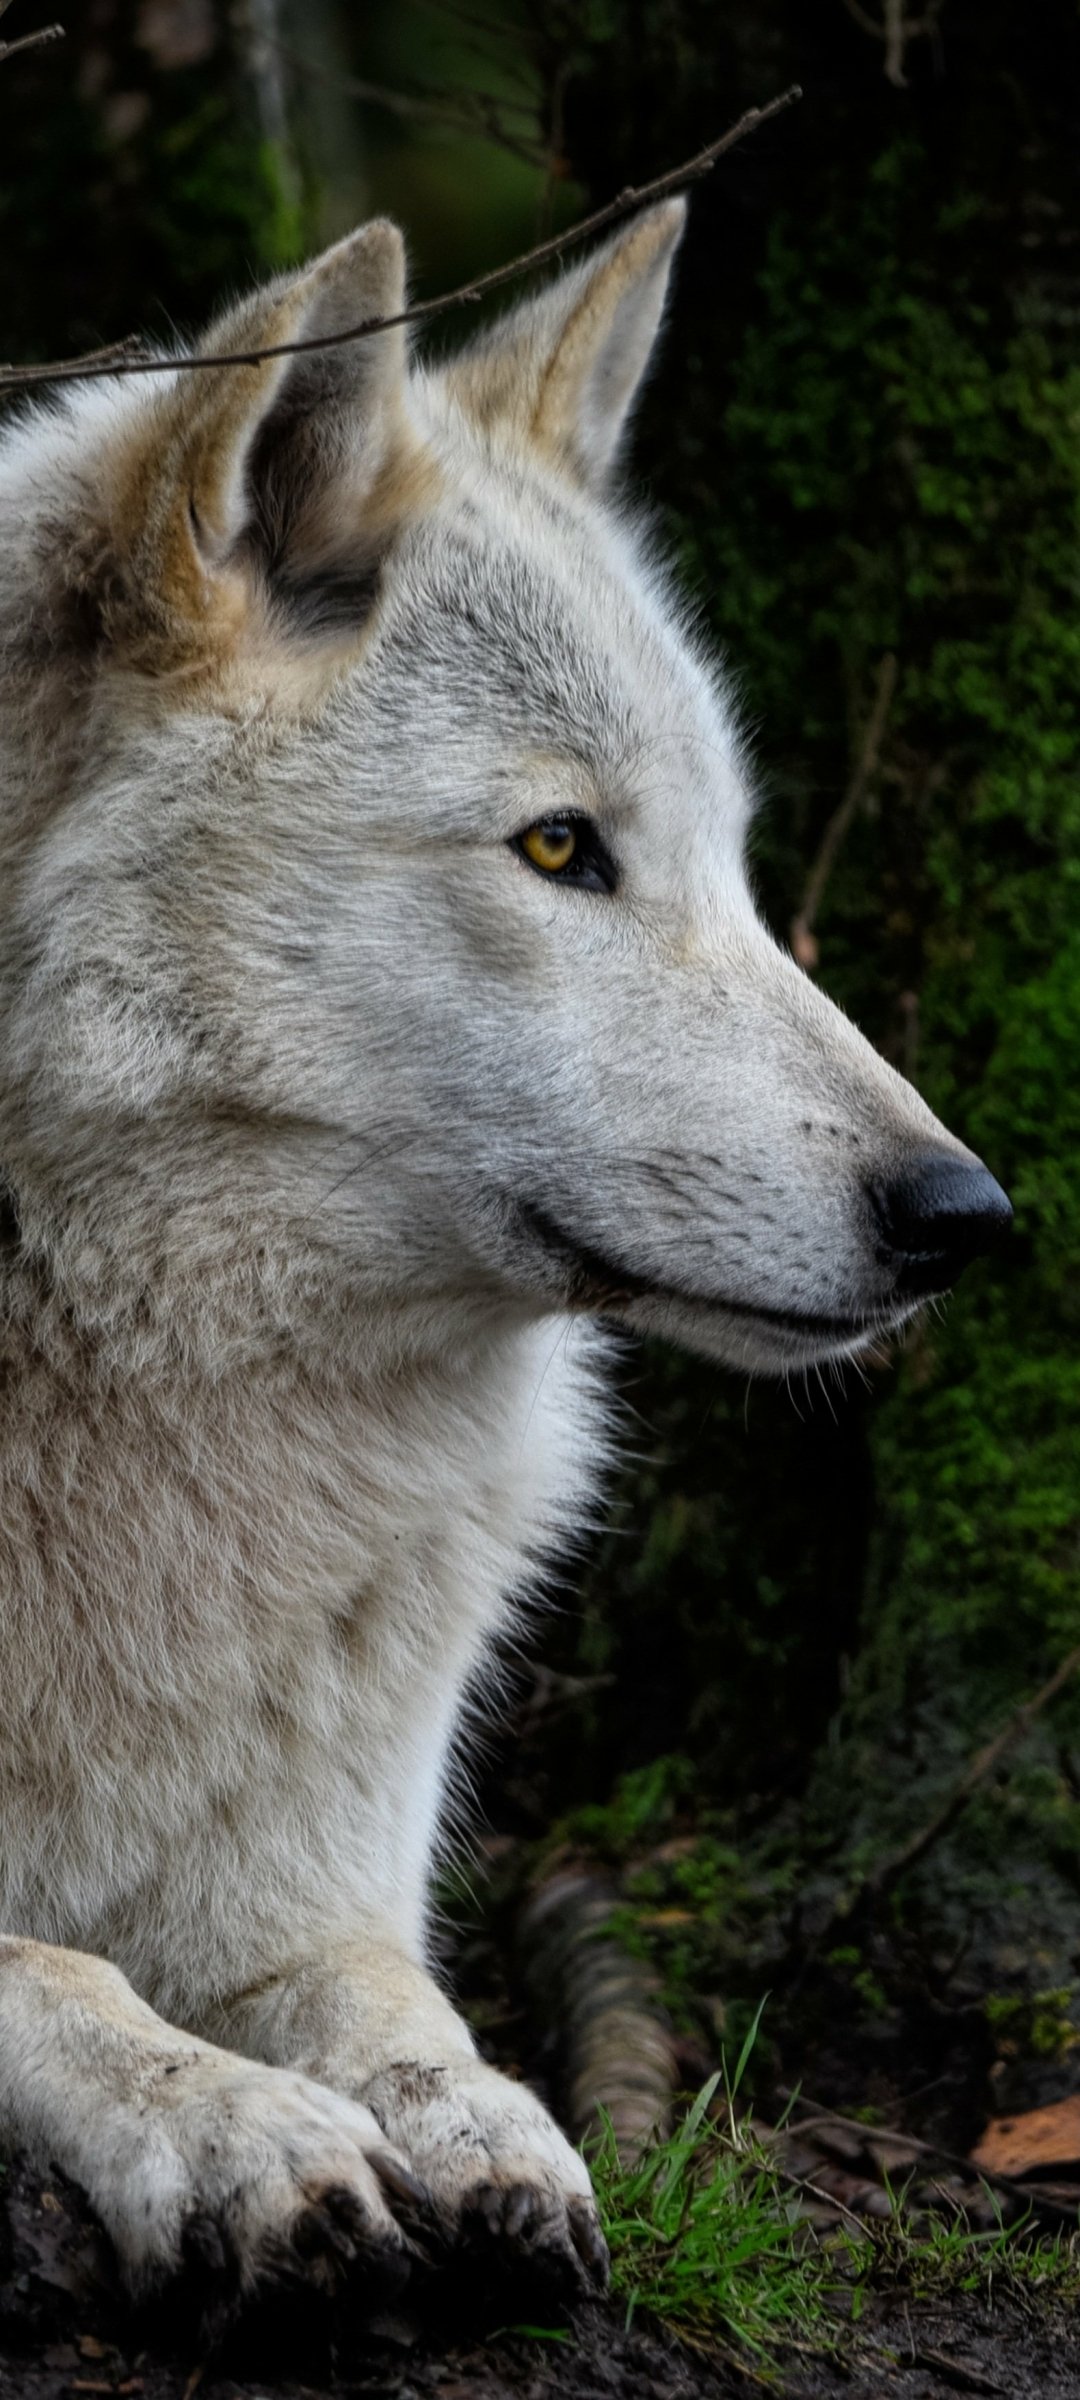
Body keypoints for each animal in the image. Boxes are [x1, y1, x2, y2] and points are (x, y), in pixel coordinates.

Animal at [0, 198, 1009, 2310]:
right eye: (558, 850)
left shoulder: (316, 1874)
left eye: (735, 862)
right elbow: (54, 1969)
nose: (967, 1217)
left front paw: (480, 2130)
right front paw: (231, 2131)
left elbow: (400, 2006)